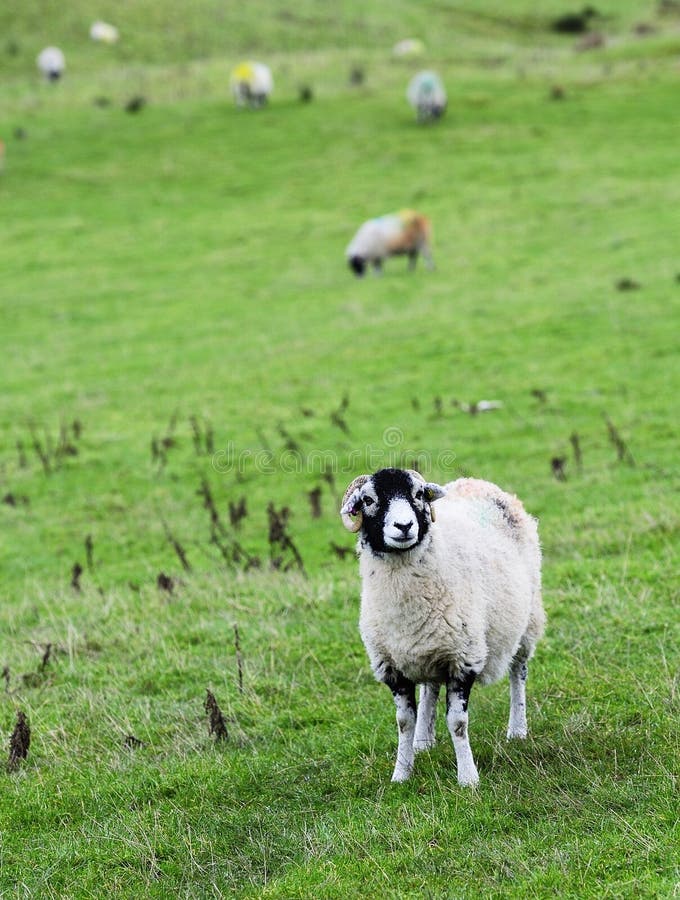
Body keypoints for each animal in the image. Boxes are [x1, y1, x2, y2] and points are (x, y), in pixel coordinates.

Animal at [340, 467, 545, 786]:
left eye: (418, 495)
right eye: (369, 500)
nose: (404, 526)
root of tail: (476, 481)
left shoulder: (463, 659)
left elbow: (457, 722)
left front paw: (468, 778)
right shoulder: (391, 667)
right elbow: (404, 722)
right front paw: (401, 773)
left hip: (527, 623)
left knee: (517, 674)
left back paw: (517, 729)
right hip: (428, 648)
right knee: (430, 689)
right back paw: (423, 741)